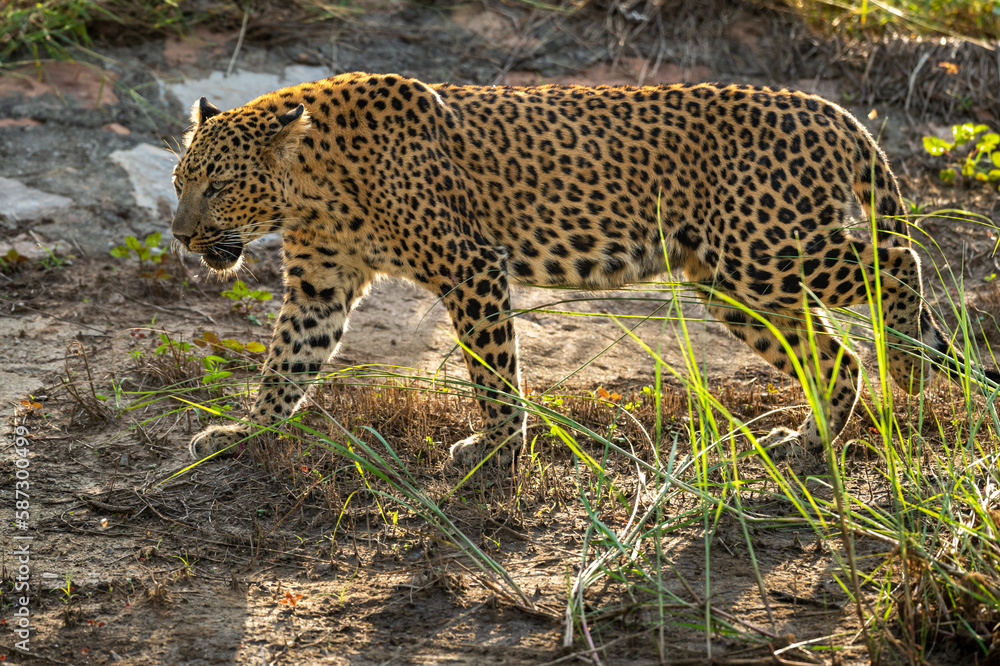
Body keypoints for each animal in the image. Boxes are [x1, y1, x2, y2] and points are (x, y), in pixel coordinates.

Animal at [170, 72, 998, 470]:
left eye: (218, 185)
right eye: (181, 181)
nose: (179, 236)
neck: (309, 188)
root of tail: (831, 110)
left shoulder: (470, 263)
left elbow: (492, 369)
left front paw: (498, 448)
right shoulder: (320, 284)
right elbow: (287, 362)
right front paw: (247, 430)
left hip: (765, 247)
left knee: (897, 261)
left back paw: (910, 368)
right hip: (730, 279)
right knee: (834, 353)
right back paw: (811, 440)